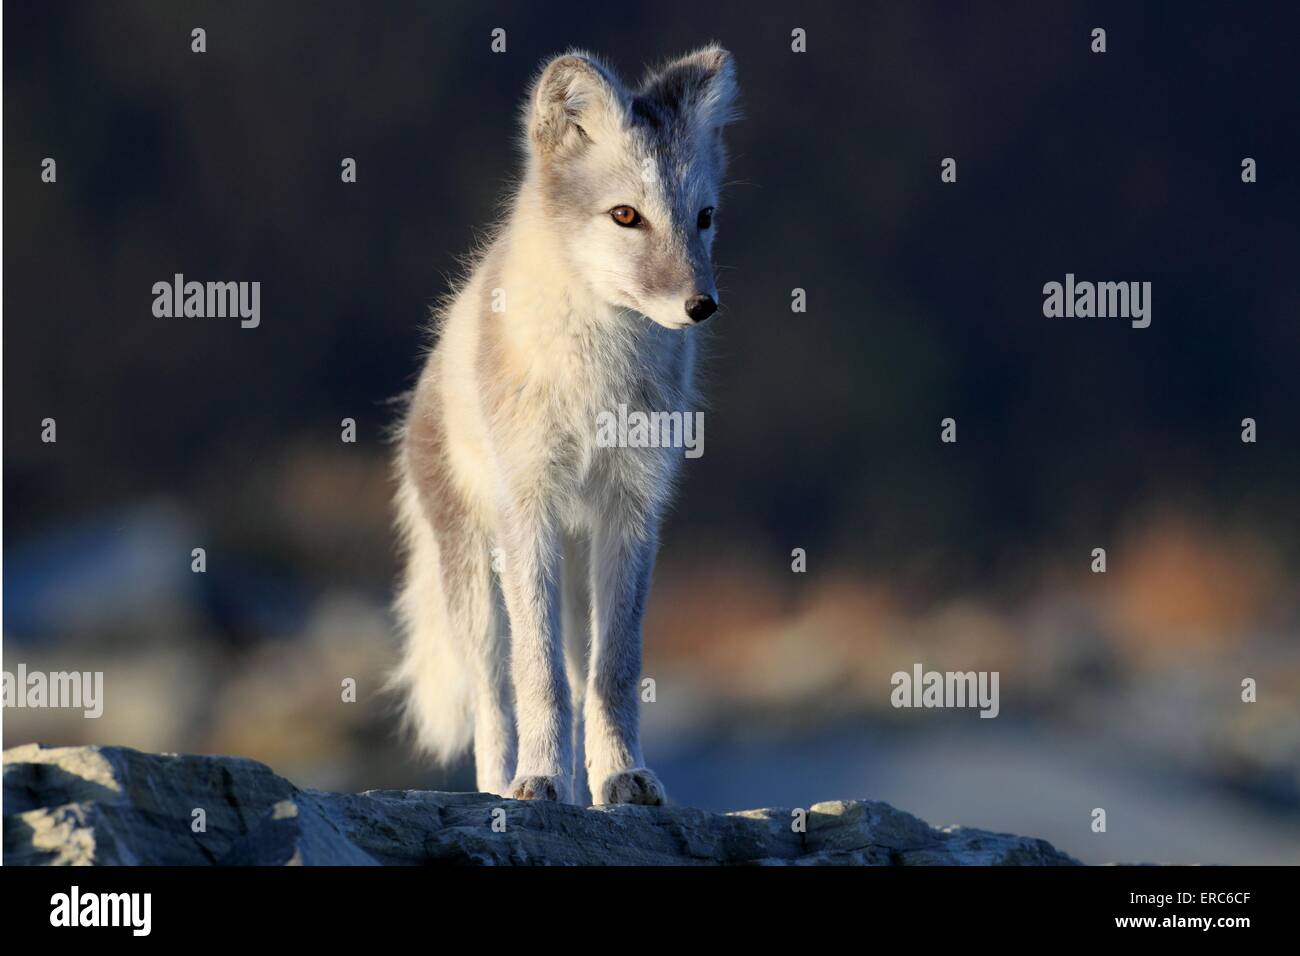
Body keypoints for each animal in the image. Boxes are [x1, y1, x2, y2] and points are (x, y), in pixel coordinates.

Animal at [389, 45, 739, 806]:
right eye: (626, 215)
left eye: (703, 217)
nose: (702, 305)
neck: (596, 376)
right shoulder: (531, 511)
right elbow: (537, 677)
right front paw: (538, 779)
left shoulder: (634, 510)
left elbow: (615, 673)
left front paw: (624, 776)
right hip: (479, 579)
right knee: (494, 698)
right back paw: (502, 787)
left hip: (581, 571)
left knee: (582, 679)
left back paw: (588, 788)